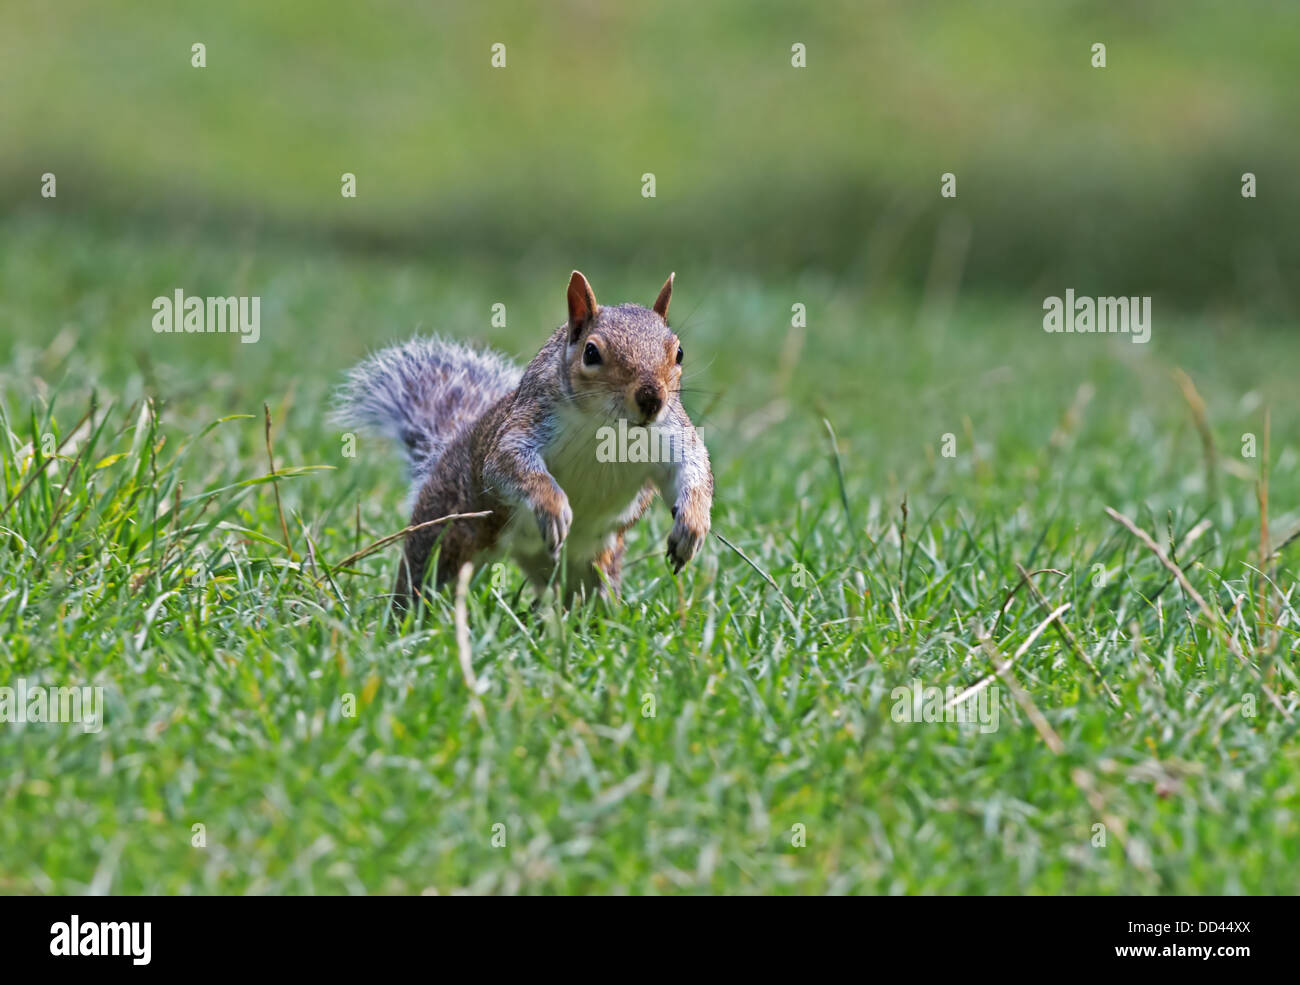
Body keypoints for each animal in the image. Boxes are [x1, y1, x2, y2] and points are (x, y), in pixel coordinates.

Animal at [334, 270, 713, 608]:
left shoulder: (672, 436)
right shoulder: (527, 425)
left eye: (679, 352)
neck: (610, 428)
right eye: (591, 353)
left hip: (587, 564)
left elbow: (694, 472)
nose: (651, 400)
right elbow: (509, 464)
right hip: (444, 533)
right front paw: (552, 505)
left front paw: (692, 525)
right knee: (419, 577)